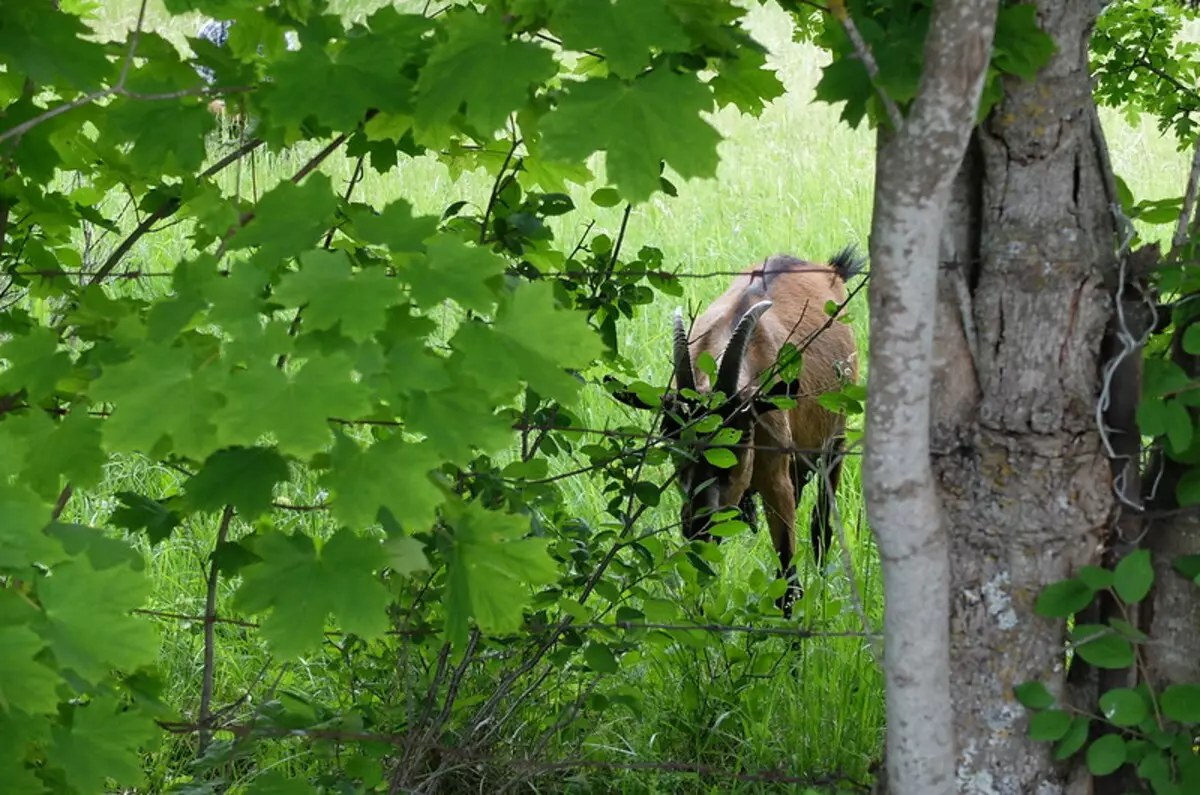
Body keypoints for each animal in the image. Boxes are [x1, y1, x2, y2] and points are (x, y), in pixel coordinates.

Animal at [609, 247, 864, 614]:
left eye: (741, 436)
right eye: (671, 438)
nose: (700, 522)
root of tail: (832, 269)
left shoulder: (776, 480)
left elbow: (788, 578)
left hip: (836, 438)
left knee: (821, 523)